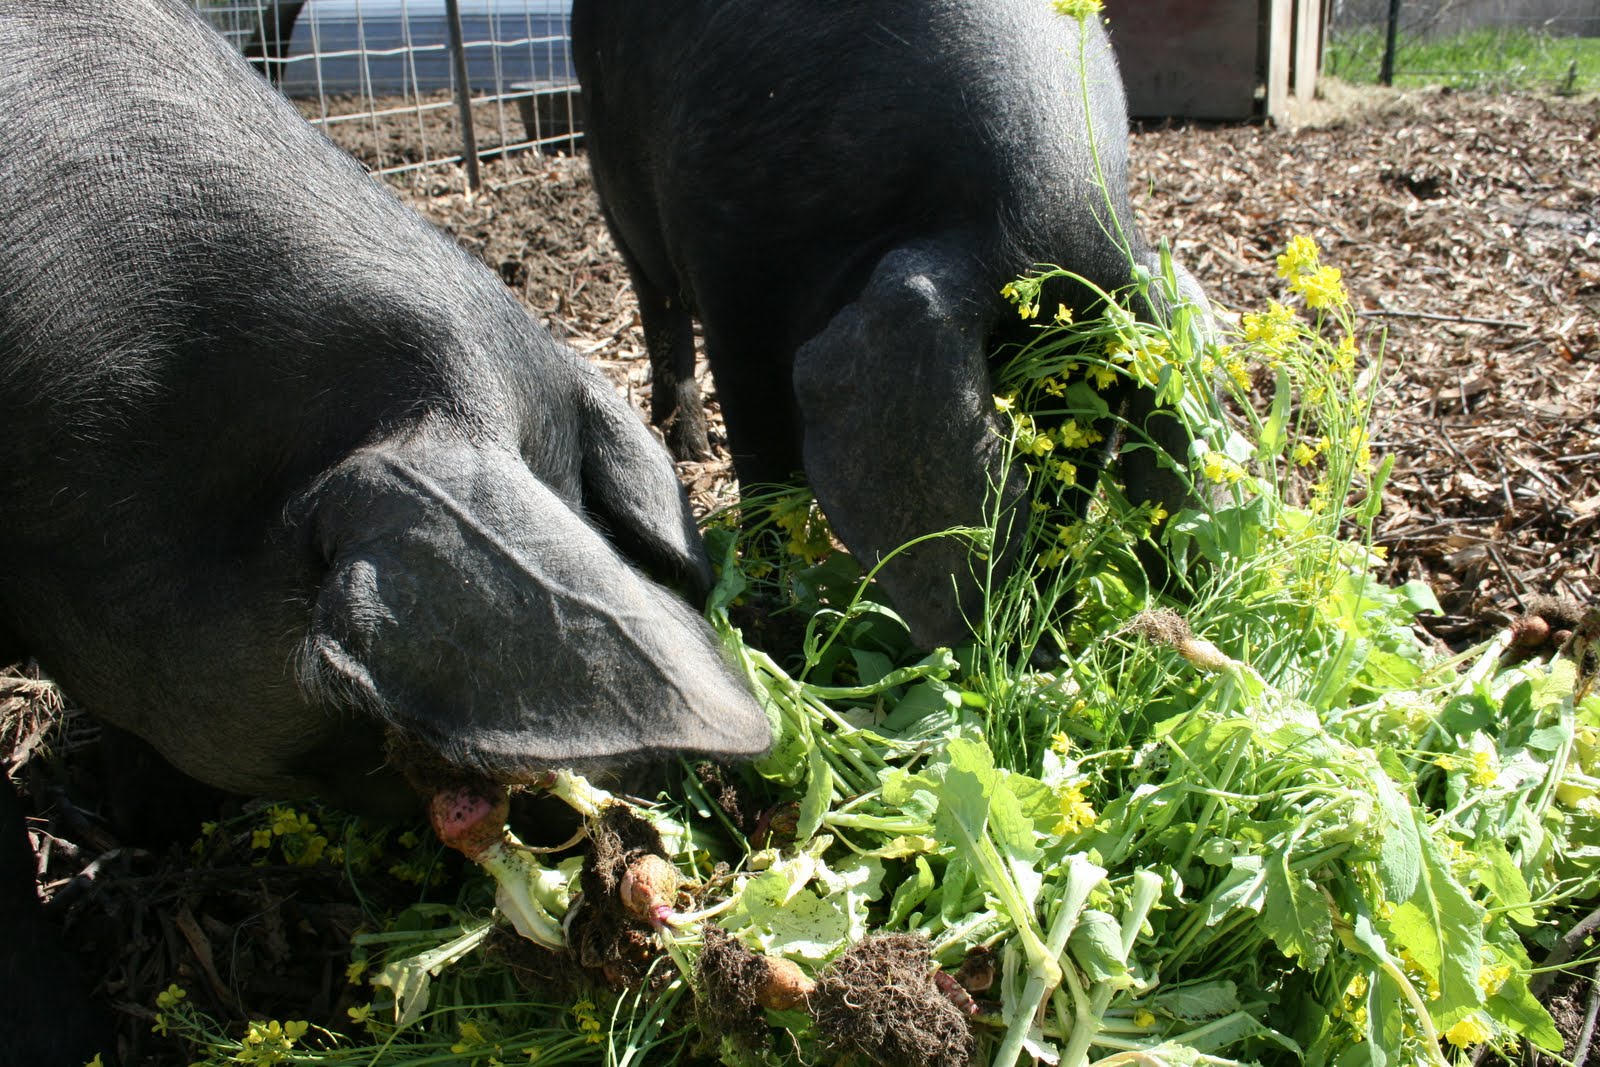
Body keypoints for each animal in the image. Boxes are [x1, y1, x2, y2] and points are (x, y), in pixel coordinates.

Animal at [571, 0, 1212, 650]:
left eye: (1099, 450)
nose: (1042, 650)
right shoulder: (734, 293)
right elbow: (764, 473)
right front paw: (772, 627)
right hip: (612, 179)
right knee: (657, 303)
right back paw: (691, 446)